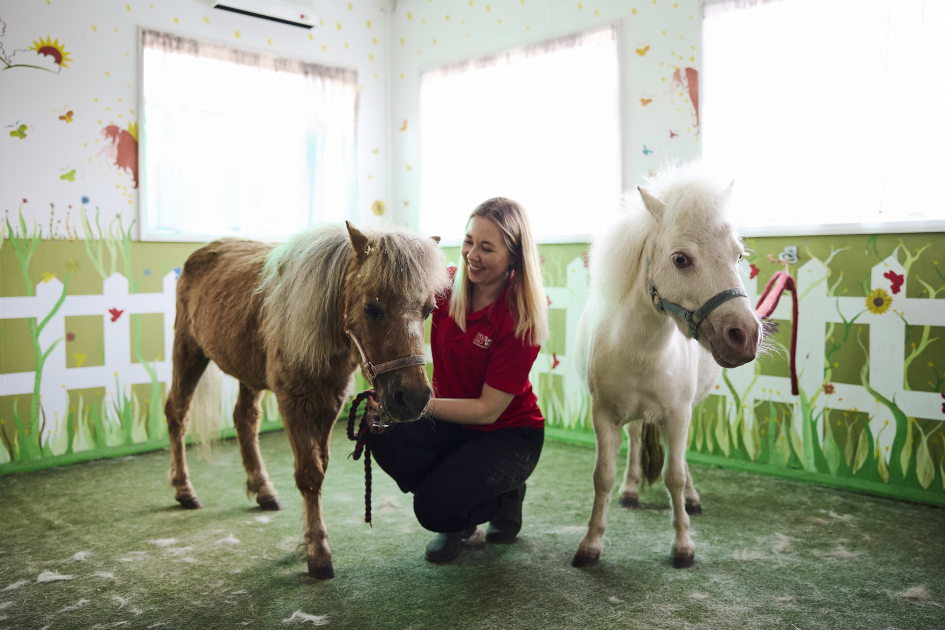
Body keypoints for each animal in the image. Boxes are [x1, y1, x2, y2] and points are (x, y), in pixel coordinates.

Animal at [164, 221, 448, 579]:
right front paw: (317, 552)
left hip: (247, 371)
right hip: (188, 351)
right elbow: (309, 473)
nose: (413, 397)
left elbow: (320, 466)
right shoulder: (292, 401)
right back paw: (184, 489)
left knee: (244, 420)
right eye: (372, 308)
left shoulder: (331, 401)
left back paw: (263, 489)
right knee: (177, 414)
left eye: (428, 310)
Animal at [571, 165, 761, 570]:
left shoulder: (678, 414)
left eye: (738, 256)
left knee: (679, 460)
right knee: (635, 437)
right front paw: (591, 543)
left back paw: (691, 496)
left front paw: (683, 545)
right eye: (680, 259)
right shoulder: (603, 415)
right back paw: (630, 490)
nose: (746, 336)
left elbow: (673, 474)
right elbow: (602, 477)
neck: (642, 351)